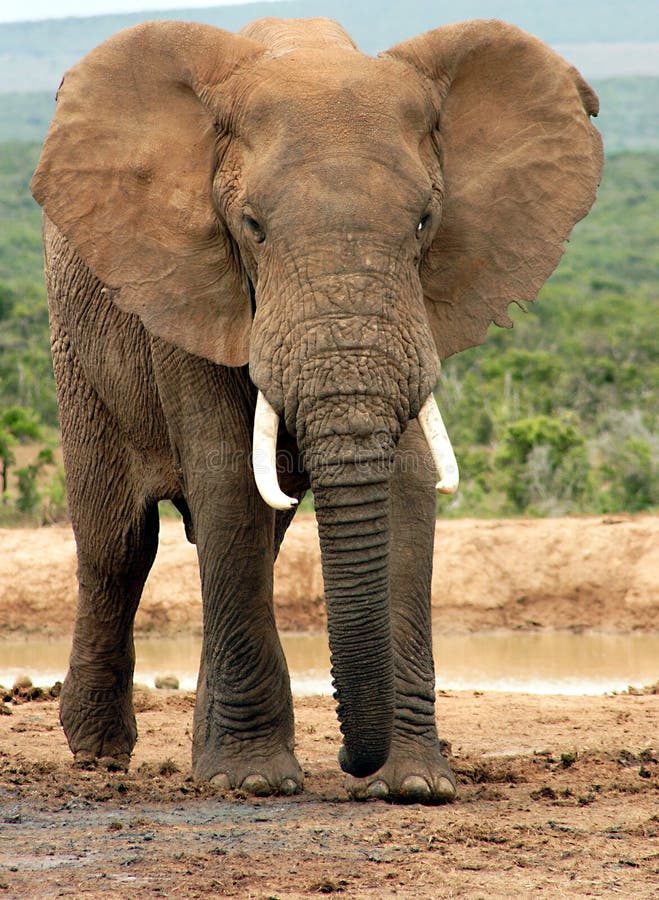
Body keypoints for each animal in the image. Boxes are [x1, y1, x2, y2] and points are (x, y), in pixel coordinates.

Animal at [30, 16, 602, 803]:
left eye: (424, 221)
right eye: (251, 226)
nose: (351, 764)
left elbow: (406, 482)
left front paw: (410, 787)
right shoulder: (191, 286)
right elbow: (227, 482)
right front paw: (252, 782)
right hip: (79, 352)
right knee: (119, 544)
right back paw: (99, 754)